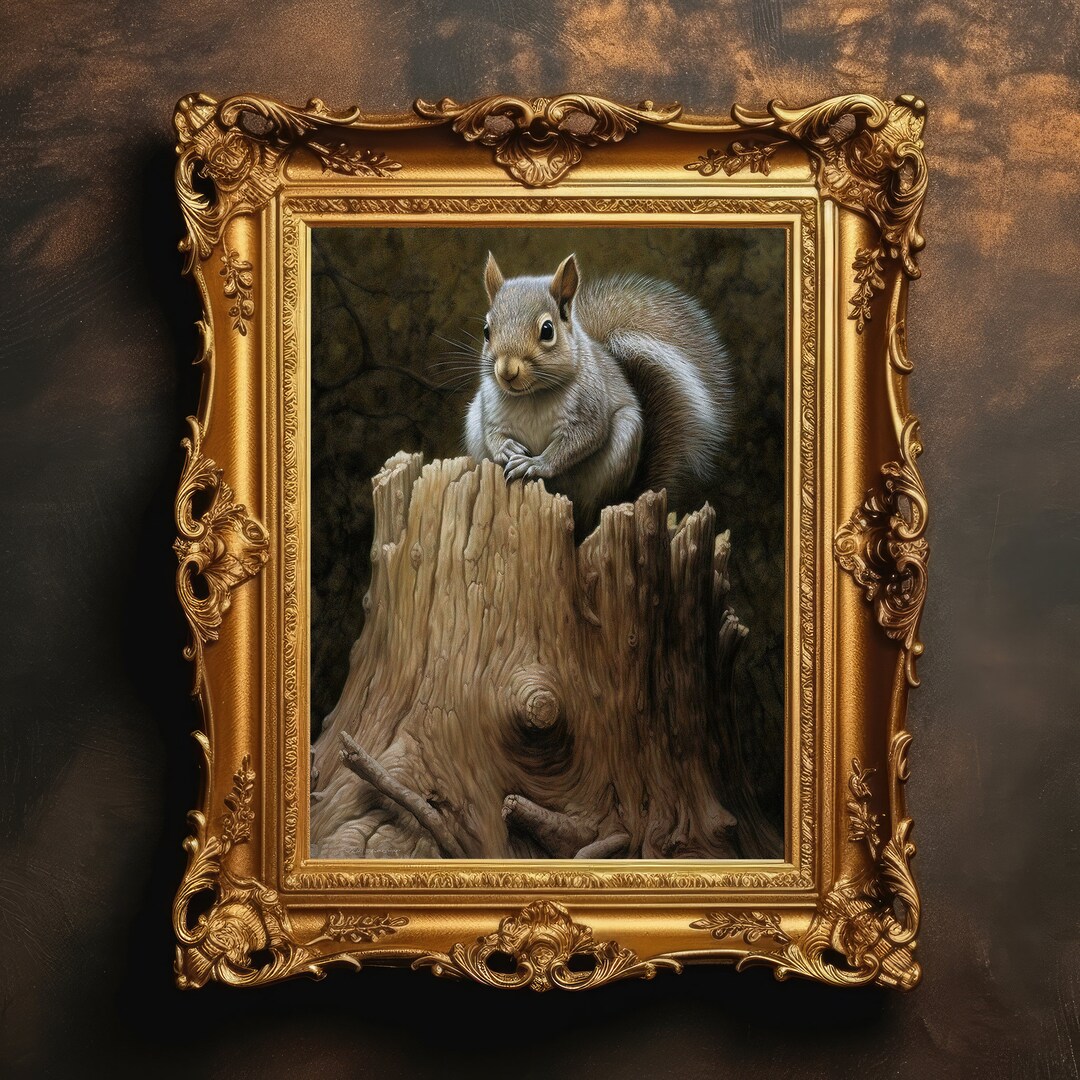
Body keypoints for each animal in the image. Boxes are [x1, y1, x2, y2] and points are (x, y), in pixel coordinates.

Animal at [464, 251, 732, 536]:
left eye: (547, 330)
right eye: (486, 331)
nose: (506, 371)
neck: (532, 395)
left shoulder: (589, 406)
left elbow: (579, 440)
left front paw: (536, 464)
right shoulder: (489, 409)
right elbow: (492, 433)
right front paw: (505, 449)